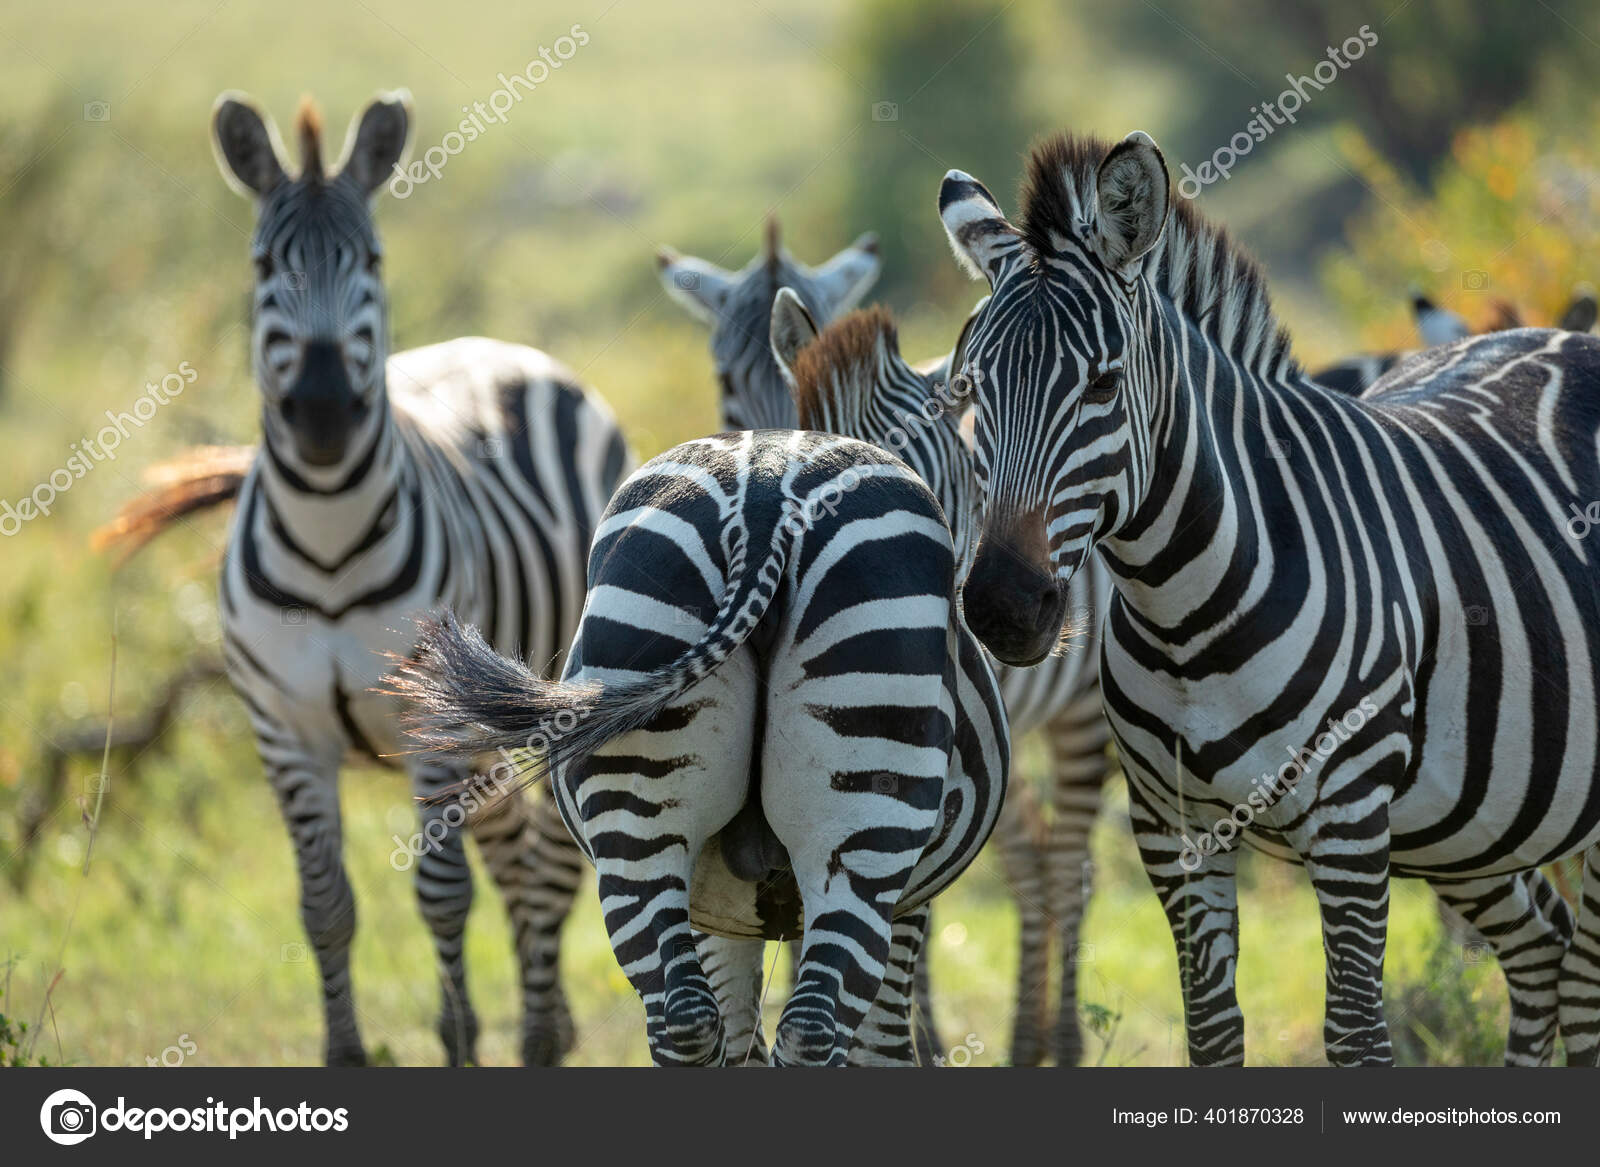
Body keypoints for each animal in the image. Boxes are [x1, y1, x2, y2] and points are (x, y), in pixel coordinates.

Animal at [208, 90, 631, 1065]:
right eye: (263, 265)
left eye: (370, 260)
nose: (324, 413)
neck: (326, 536)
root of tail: (501, 344)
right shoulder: (283, 730)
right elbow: (324, 906)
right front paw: (345, 1052)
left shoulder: (426, 725)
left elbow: (441, 894)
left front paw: (461, 1041)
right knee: (517, 855)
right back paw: (544, 1022)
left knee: (548, 864)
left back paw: (540, 1034)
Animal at [395, 428, 1010, 1066]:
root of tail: (766, 497)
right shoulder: (904, 904)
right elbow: (872, 1045)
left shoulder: (716, 901)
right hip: (864, 817)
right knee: (810, 1027)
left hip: (640, 796)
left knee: (685, 1018)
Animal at [939, 129, 1600, 1066]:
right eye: (968, 390)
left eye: (1103, 384)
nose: (1001, 604)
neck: (1184, 615)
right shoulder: (1171, 825)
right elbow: (1212, 1032)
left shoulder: (1350, 814)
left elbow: (1355, 1033)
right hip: (1479, 817)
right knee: (1543, 946)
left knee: (1583, 974)